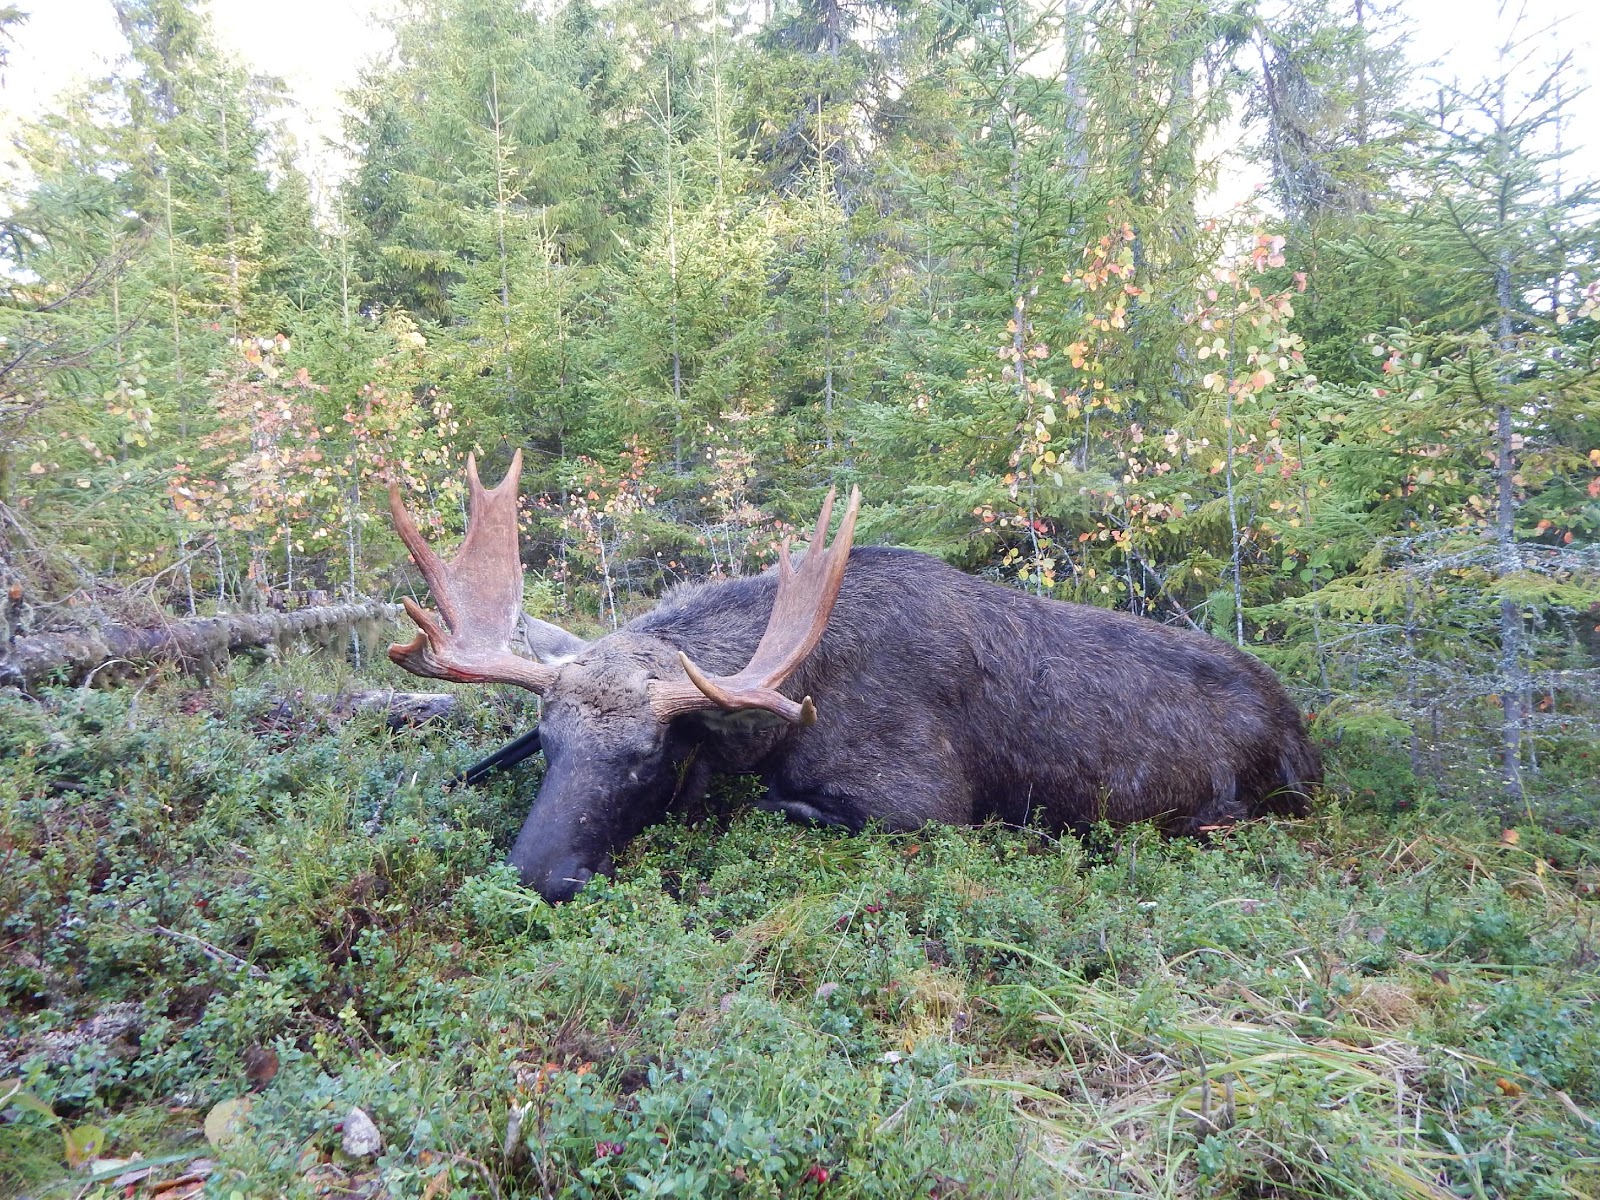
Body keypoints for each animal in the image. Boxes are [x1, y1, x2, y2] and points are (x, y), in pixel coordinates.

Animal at [387, 451, 1320, 901]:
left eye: (649, 757)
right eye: (545, 741)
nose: (535, 875)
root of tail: (1306, 735)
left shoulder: (927, 805)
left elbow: (777, 805)